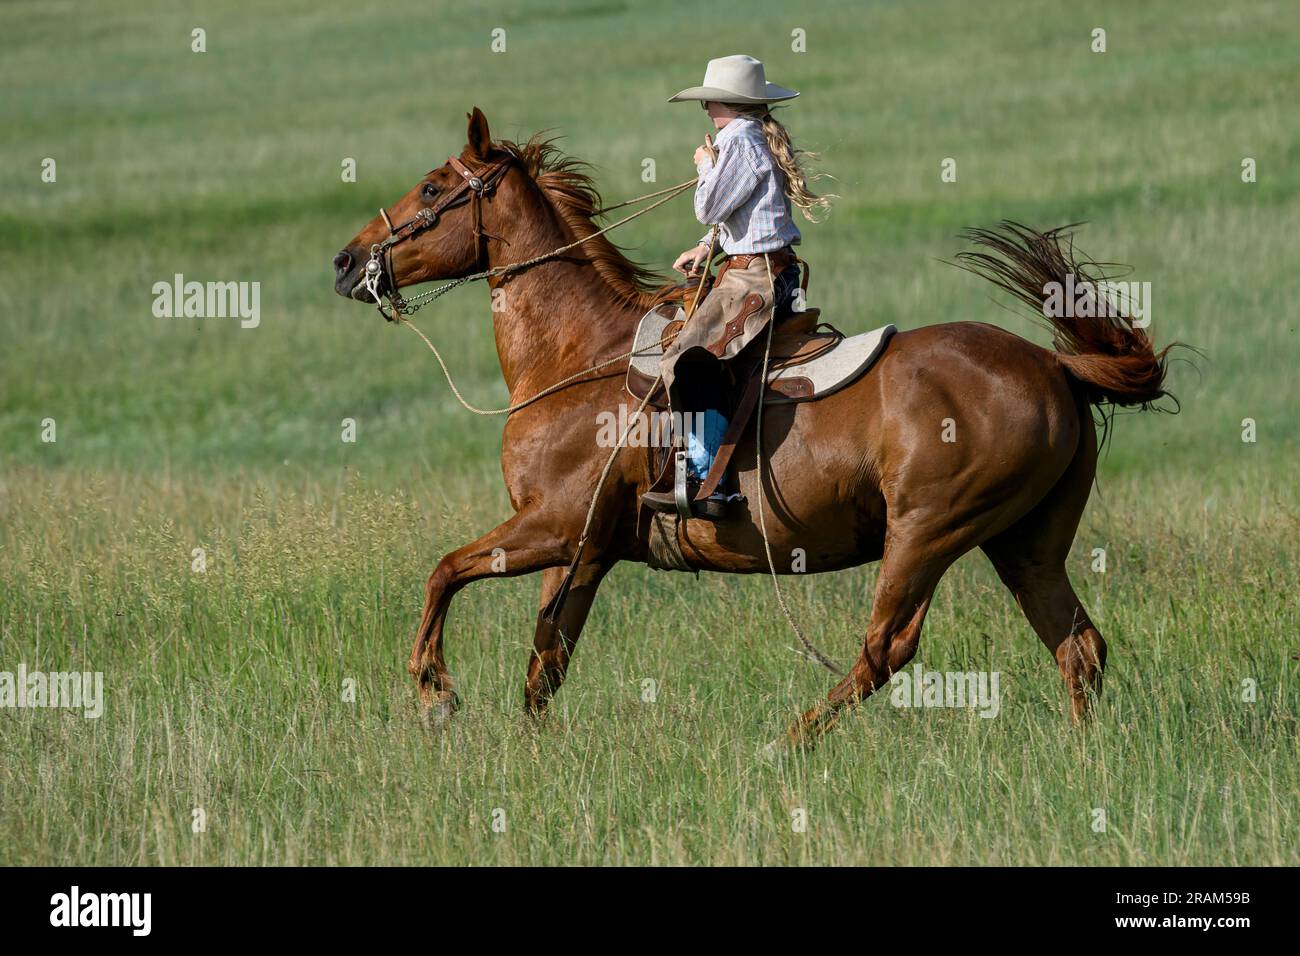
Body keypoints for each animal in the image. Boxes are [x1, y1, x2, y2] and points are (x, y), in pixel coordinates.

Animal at [331, 108, 1173, 746]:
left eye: (432, 187)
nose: (345, 262)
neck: (581, 358)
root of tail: (1052, 368)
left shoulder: (556, 525)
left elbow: (445, 571)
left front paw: (436, 692)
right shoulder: (584, 550)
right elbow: (547, 659)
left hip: (927, 533)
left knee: (887, 649)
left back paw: (786, 742)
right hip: (1025, 543)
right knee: (1078, 644)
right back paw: (1079, 755)